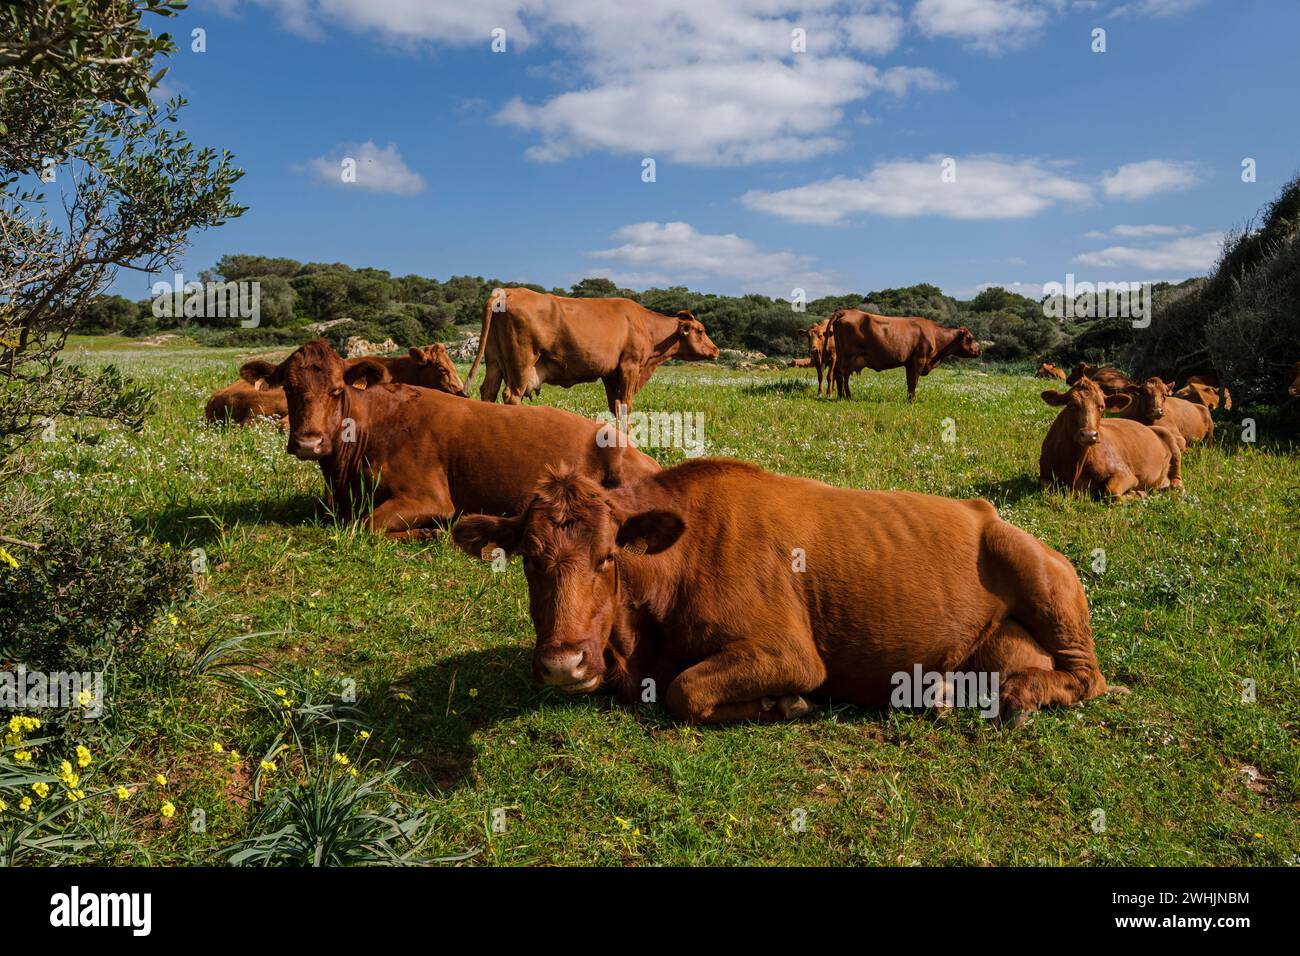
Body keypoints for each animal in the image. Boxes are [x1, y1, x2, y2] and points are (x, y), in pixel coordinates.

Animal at [238, 340, 659, 538]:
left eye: (338, 390)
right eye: (289, 389)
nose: (308, 443)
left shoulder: (429, 497)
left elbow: (367, 526)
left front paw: (428, 534)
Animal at [452, 458, 1116, 726]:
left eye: (608, 556)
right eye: (528, 558)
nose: (564, 663)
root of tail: (986, 512)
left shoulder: (792, 653)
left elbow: (685, 692)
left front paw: (782, 704)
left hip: (1043, 577)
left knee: (1088, 677)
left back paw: (1017, 695)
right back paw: (952, 692)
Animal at [465, 287, 720, 416]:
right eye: (701, 330)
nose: (716, 350)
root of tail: (509, 290)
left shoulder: (611, 374)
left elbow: (615, 407)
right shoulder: (630, 366)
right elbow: (626, 405)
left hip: (495, 361)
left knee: (488, 391)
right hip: (522, 362)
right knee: (511, 395)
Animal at [828, 310, 980, 401]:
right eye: (971, 338)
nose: (979, 350)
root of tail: (847, 311)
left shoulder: (909, 363)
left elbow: (909, 381)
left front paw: (909, 398)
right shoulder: (919, 359)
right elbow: (914, 381)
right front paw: (912, 401)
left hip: (844, 356)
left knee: (840, 374)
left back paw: (845, 396)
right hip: (848, 356)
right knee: (840, 374)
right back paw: (844, 397)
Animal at [1040, 378, 1183, 500]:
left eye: (1101, 406)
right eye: (1071, 404)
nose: (1089, 434)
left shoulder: (1126, 474)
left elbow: (1111, 491)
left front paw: (1138, 493)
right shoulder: (1045, 475)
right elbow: (1047, 488)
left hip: (1170, 440)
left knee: (1177, 480)